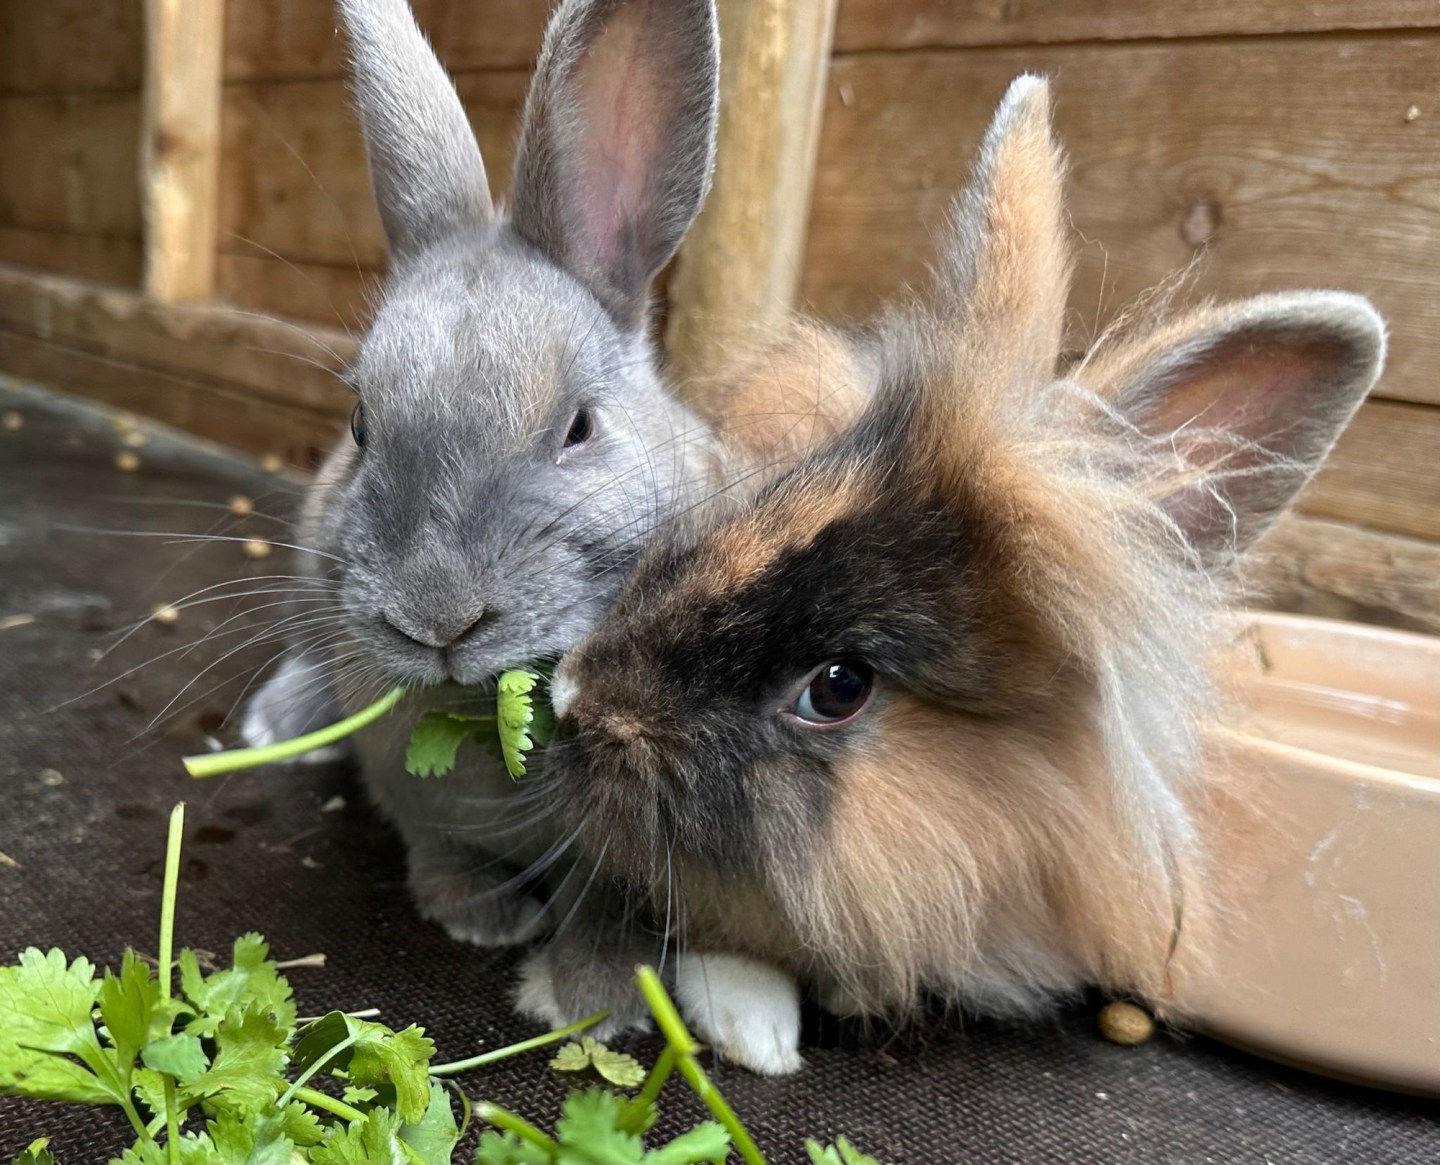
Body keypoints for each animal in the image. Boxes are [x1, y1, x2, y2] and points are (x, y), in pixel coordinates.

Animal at [239, 0, 871, 970]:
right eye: (359, 424)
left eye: (579, 427)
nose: (437, 616)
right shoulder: (415, 806)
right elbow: (435, 851)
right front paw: (477, 914)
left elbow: (604, 900)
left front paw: (593, 982)